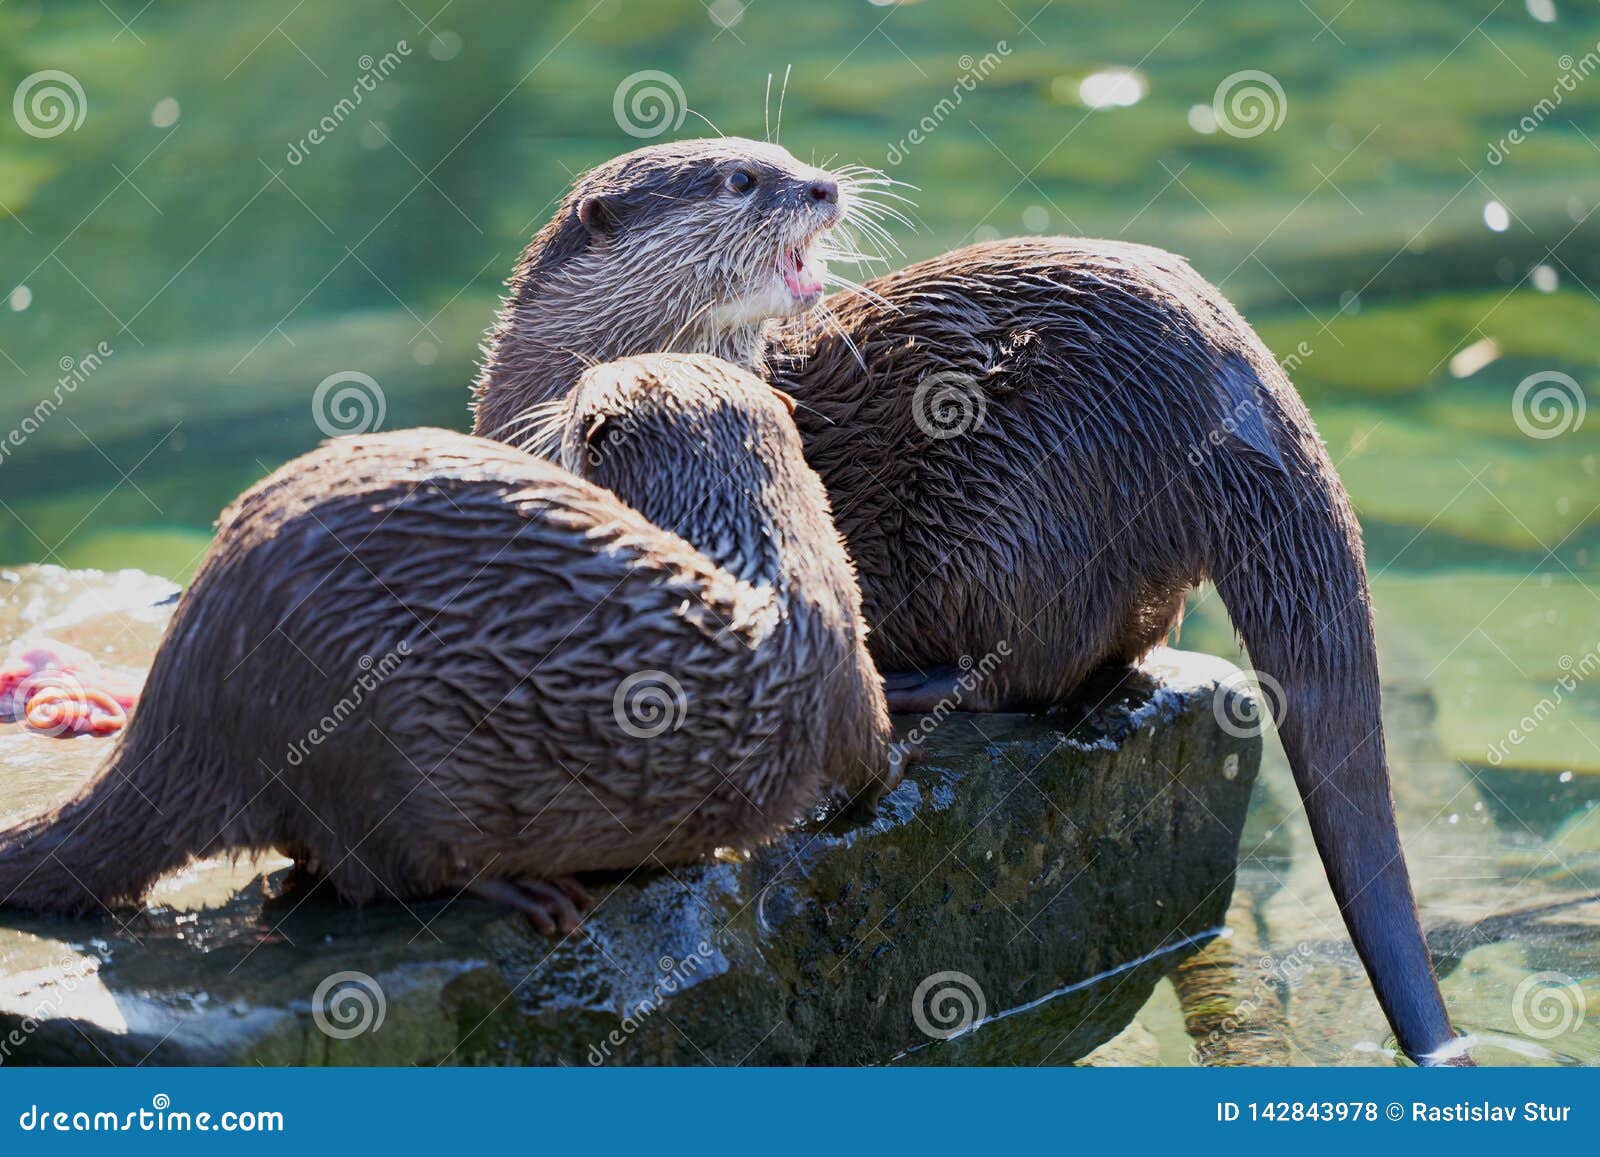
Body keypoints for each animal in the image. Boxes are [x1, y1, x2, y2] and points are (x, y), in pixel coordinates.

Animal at [0, 354, 893, 934]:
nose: (569, 379)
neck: (759, 537)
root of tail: (192, 688)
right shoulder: (851, 671)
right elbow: (873, 768)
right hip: (369, 740)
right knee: (377, 875)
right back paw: (527, 893)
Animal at [468, 138, 1460, 1063]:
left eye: (781, 157)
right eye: (743, 179)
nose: (823, 186)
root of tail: (1230, 375)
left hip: (1019, 503)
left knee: (1042, 668)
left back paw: (919, 686)